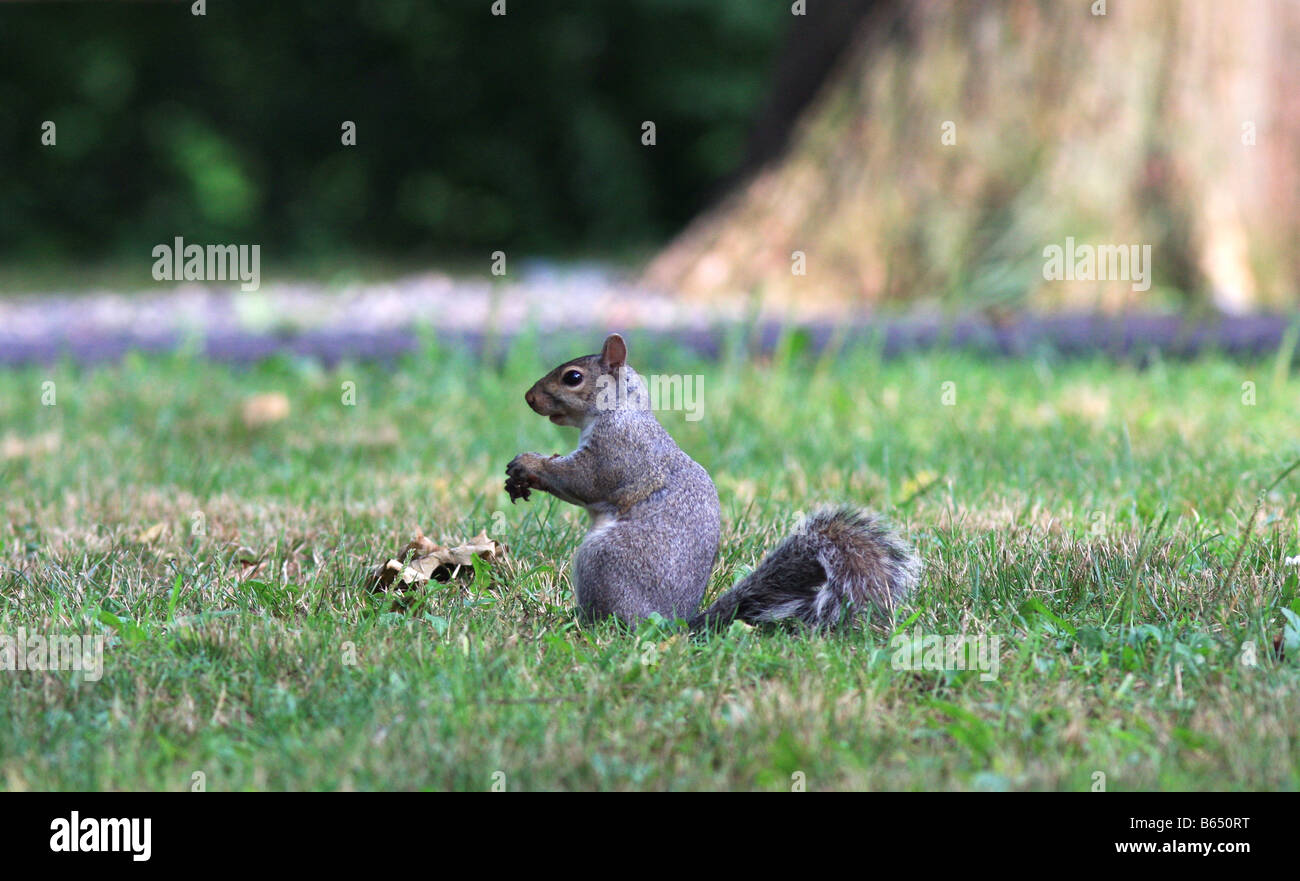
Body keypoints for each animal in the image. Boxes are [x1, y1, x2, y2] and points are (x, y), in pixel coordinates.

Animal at [505, 333, 920, 631]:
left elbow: (580, 481)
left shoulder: (616, 454)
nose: (528, 397)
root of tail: (674, 624)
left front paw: (529, 464)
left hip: (602, 561)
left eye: (572, 378)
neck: (622, 412)